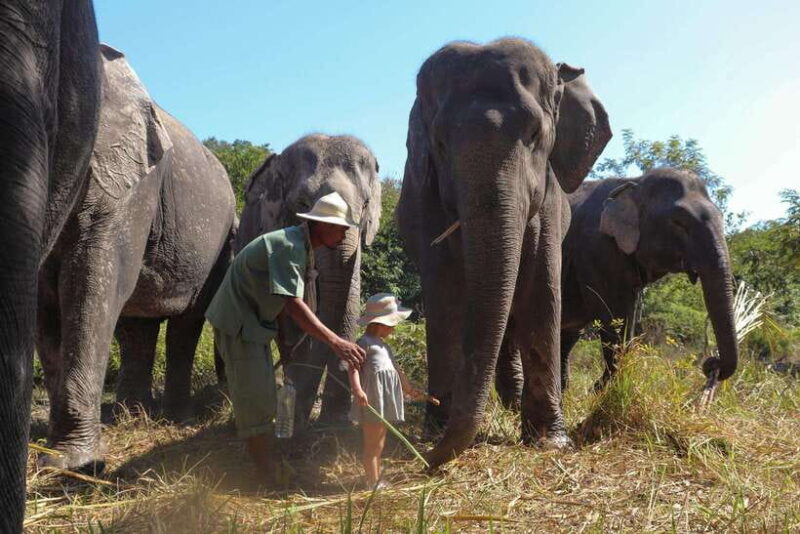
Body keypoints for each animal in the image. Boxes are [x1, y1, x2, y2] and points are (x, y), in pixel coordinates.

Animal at [36, 44, 236, 471]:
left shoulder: (129, 181)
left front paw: (67, 463)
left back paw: (173, 418)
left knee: (186, 321)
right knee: (136, 325)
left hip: (217, 246)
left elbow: (90, 275)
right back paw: (131, 416)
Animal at [396, 38, 612, 468]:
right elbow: (445, 293)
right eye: (440, 143)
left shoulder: (548, 195)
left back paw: (512, 407)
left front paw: (550, 442)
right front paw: (437, 429)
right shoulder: (427, 195)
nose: (428, 457)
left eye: (535, 133)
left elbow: (541, 287)